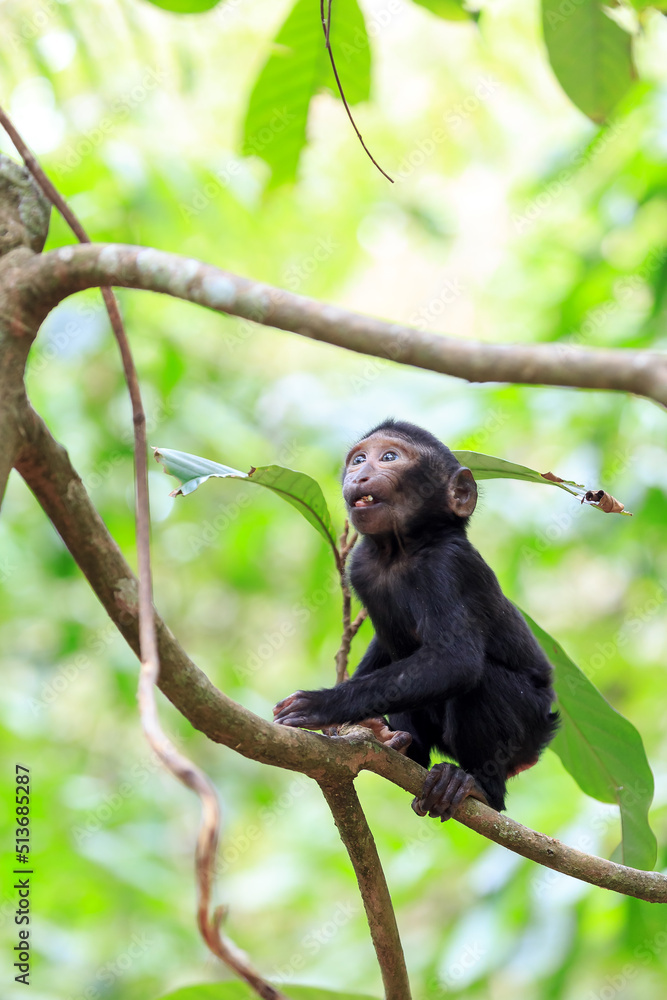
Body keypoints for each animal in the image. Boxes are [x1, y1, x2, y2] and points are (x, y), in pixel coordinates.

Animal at [274, 419, 558, 820]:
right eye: (358, 459)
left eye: (389, 457)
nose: (359, 474)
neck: (400, 551)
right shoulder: (360, 565)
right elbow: (385, 646)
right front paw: (343, 724)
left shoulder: (447, 565)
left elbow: (456, 661)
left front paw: (320, 706)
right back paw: (400, 745)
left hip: (528, 722)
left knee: (483, 681)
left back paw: (480, 786)